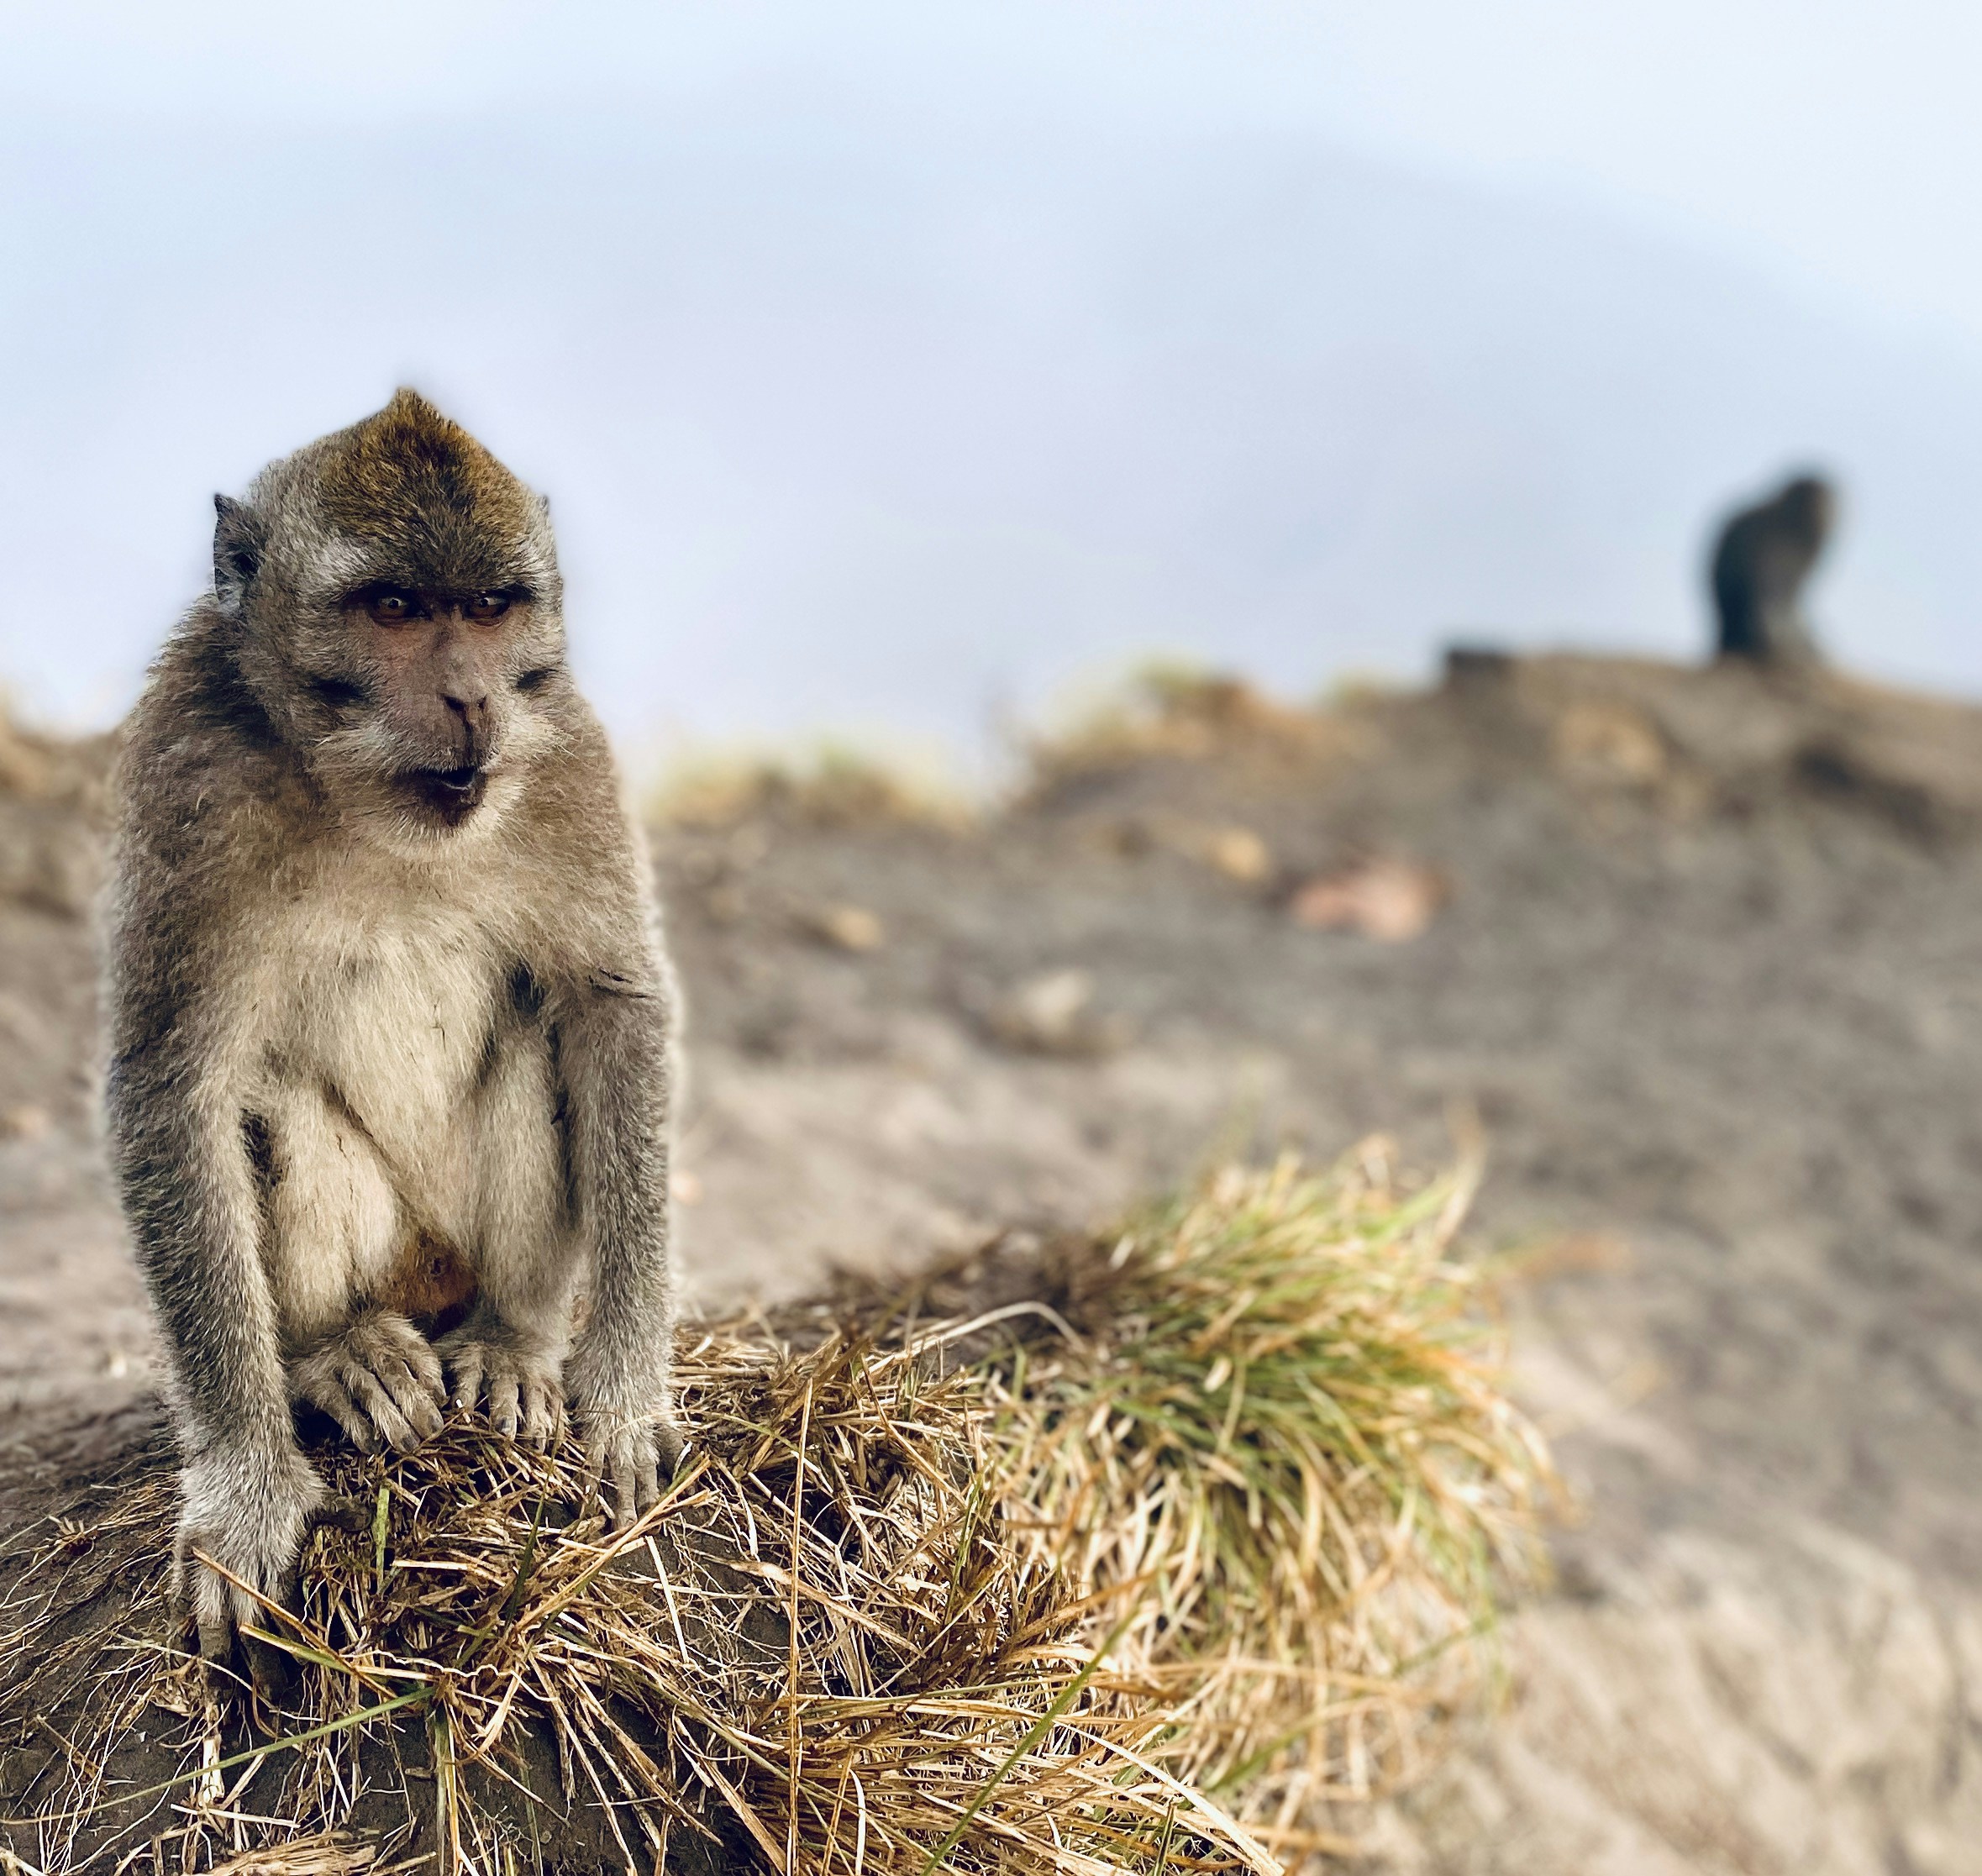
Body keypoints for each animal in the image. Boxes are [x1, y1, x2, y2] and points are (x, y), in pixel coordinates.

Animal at [102, 390, 684, 1670]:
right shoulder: (187, 765)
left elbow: (608, 1007)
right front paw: (246, 1488)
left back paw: (513, 1340)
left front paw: (624, 1390)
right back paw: (335, 1353)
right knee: (258, 1102)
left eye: (487, 608)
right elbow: (174, 1083)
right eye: (395, 611)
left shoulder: (562, 749)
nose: (470, 699)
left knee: (544, 1044)